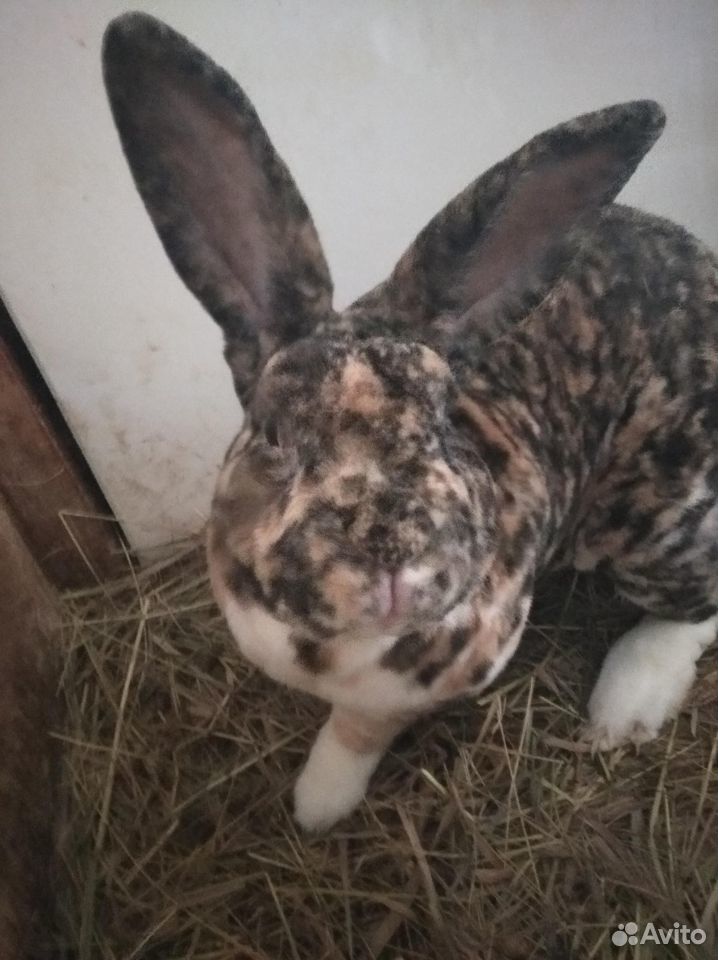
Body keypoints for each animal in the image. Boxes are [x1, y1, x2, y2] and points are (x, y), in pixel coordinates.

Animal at [103, 13, 717, 831]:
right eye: (273, 432)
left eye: (442, 417)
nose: (391, 562)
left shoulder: (420, 682)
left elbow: (359, 730)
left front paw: (316, 806)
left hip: (656, 526)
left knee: (696, 607)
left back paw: (624, 705)